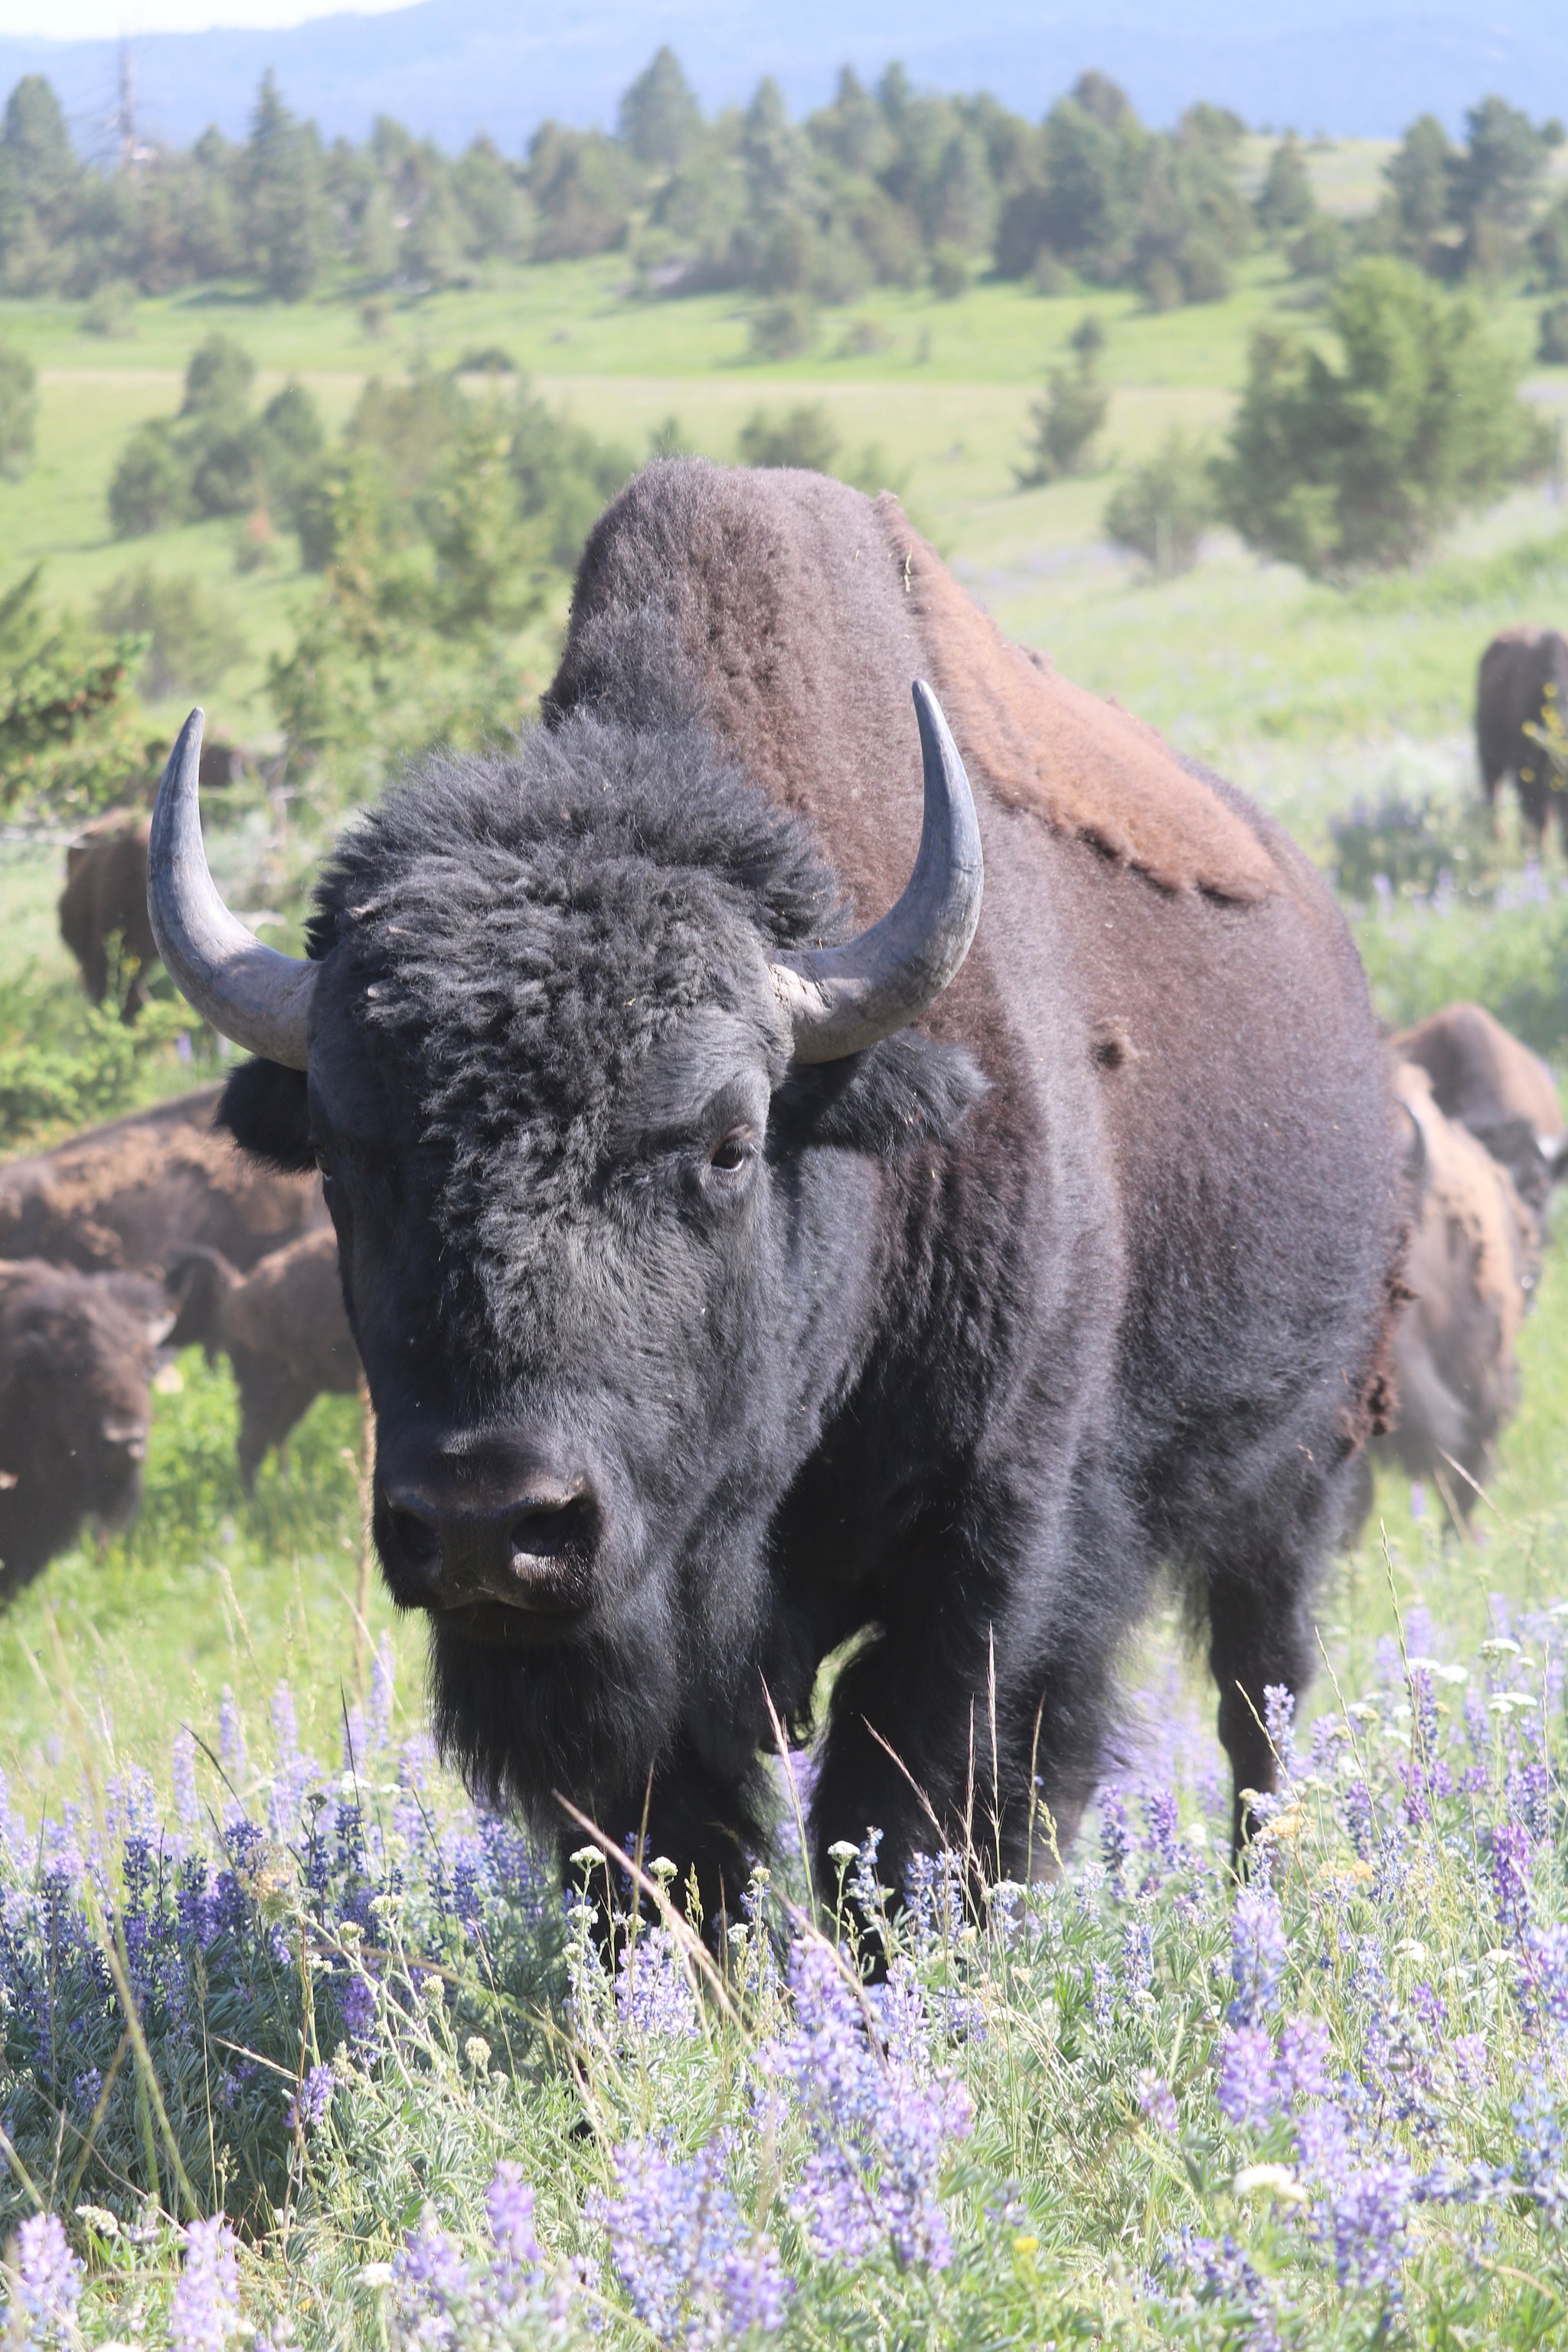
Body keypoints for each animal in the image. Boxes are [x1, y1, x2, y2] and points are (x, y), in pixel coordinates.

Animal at [169, 1228, 360, 1487]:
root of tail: (237, 1286)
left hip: (297, 1391)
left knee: (276, 1437)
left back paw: (286, 1489)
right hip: (263, 1389)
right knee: (251, 1445)